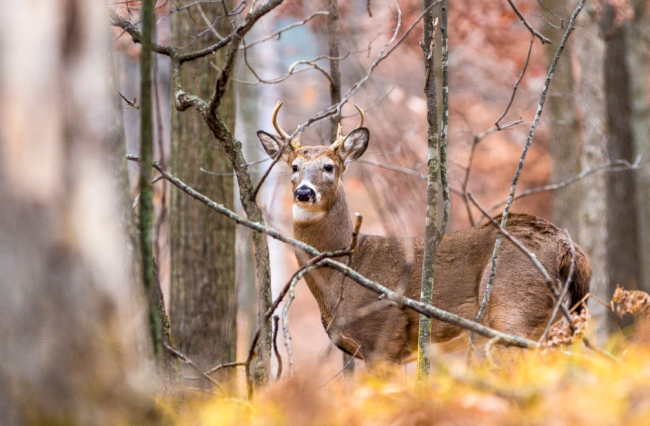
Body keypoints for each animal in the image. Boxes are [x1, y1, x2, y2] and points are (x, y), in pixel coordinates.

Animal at [257, 101, 591, 366]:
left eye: (329, 166)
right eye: (294, 167)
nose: (304, 192)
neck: (345, 268)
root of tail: (567, 246)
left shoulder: (384, 336)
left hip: (513, 310)